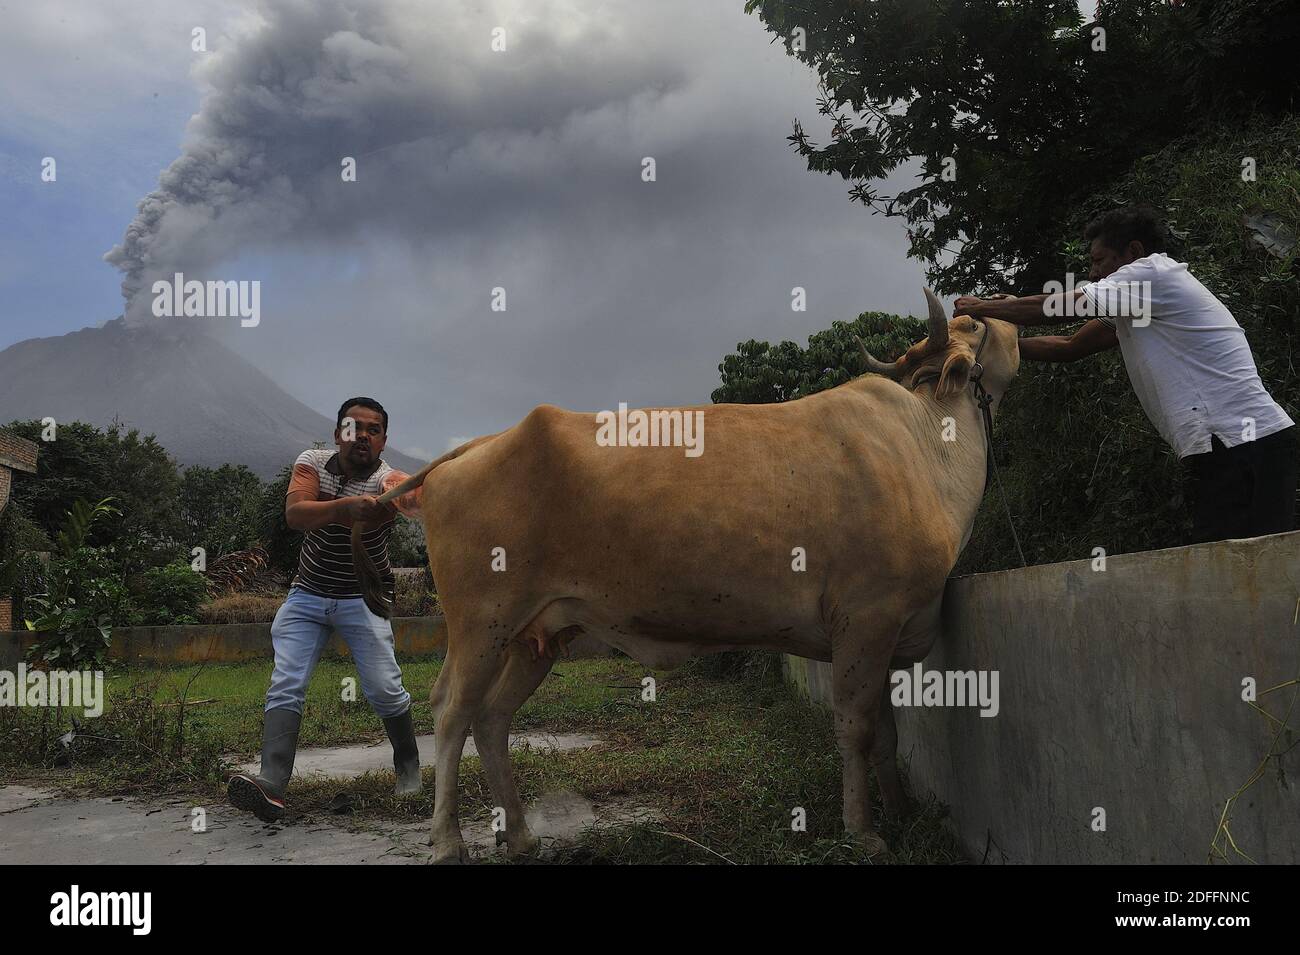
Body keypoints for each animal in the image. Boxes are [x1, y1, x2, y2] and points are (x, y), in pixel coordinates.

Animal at [356, 289, 1021, 863]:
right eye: (977, 324)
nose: (1011, 318)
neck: (926, 449)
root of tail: (476, 446)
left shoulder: (886, 631)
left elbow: (886, 732)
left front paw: (901, 813)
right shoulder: (865, 618)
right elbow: (857, 727)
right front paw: (864, 833)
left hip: (536, 634)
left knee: (492, 719)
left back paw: (519, 836)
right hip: (481, 623)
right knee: (451, 712)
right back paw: (448, 843)